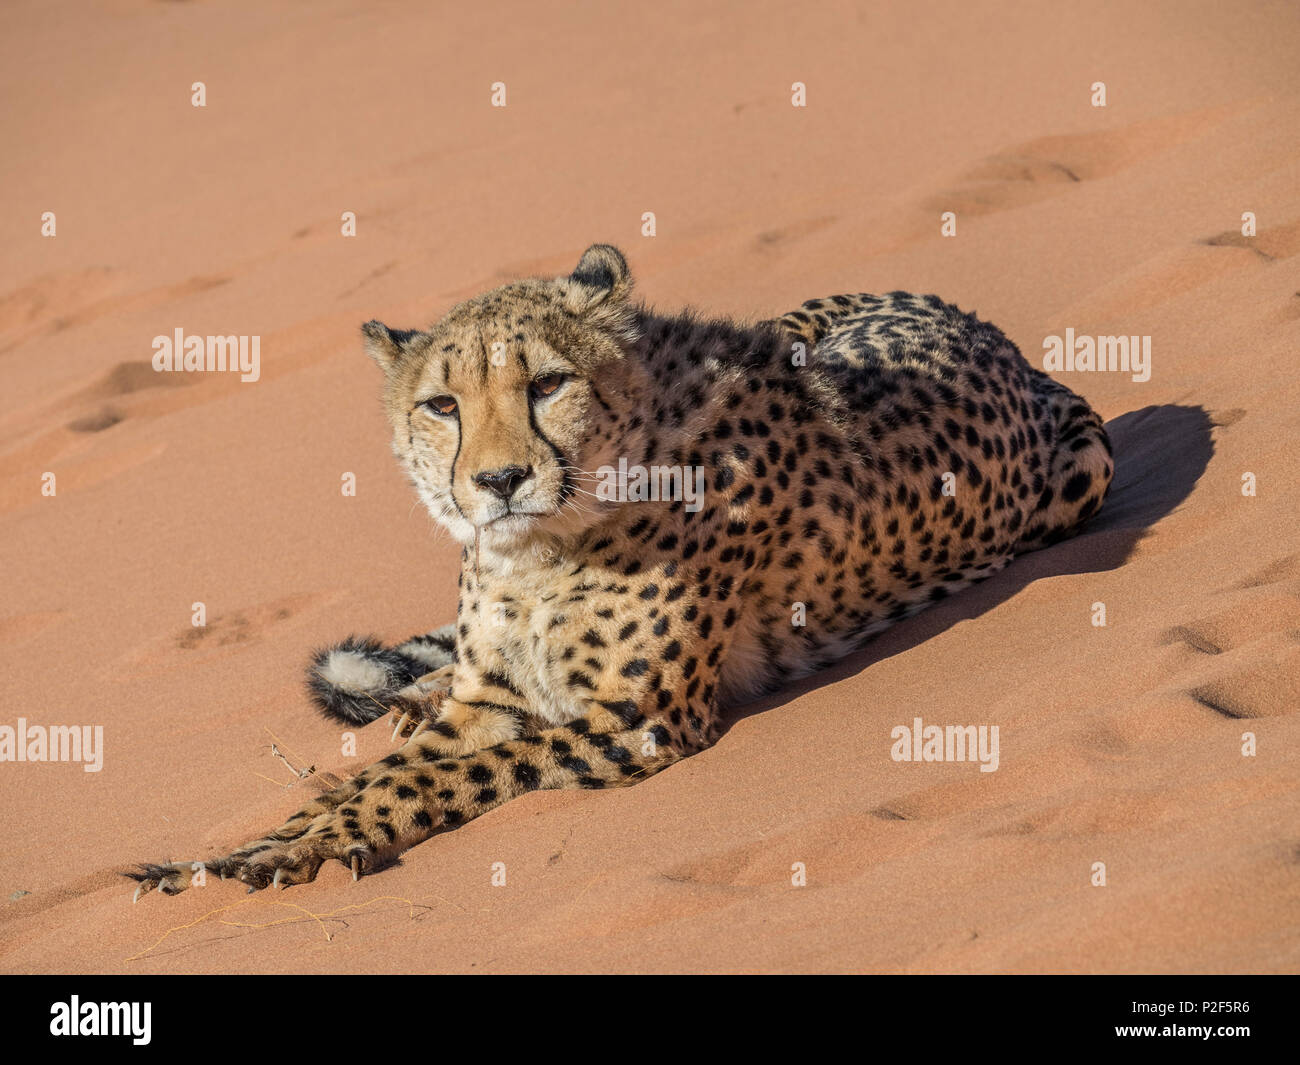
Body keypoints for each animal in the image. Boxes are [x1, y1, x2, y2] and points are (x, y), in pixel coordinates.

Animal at [128, 243, 1112, 897]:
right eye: (442, 405)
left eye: (547, 383)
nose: (498, 481)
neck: (538, 549)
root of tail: (981, 327)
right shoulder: (488, 701)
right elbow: (370, 777)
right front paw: (247, 848)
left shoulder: (638, 720)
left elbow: (425, 780)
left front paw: (300, 847)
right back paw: (406, 696)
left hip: (1086, 467)